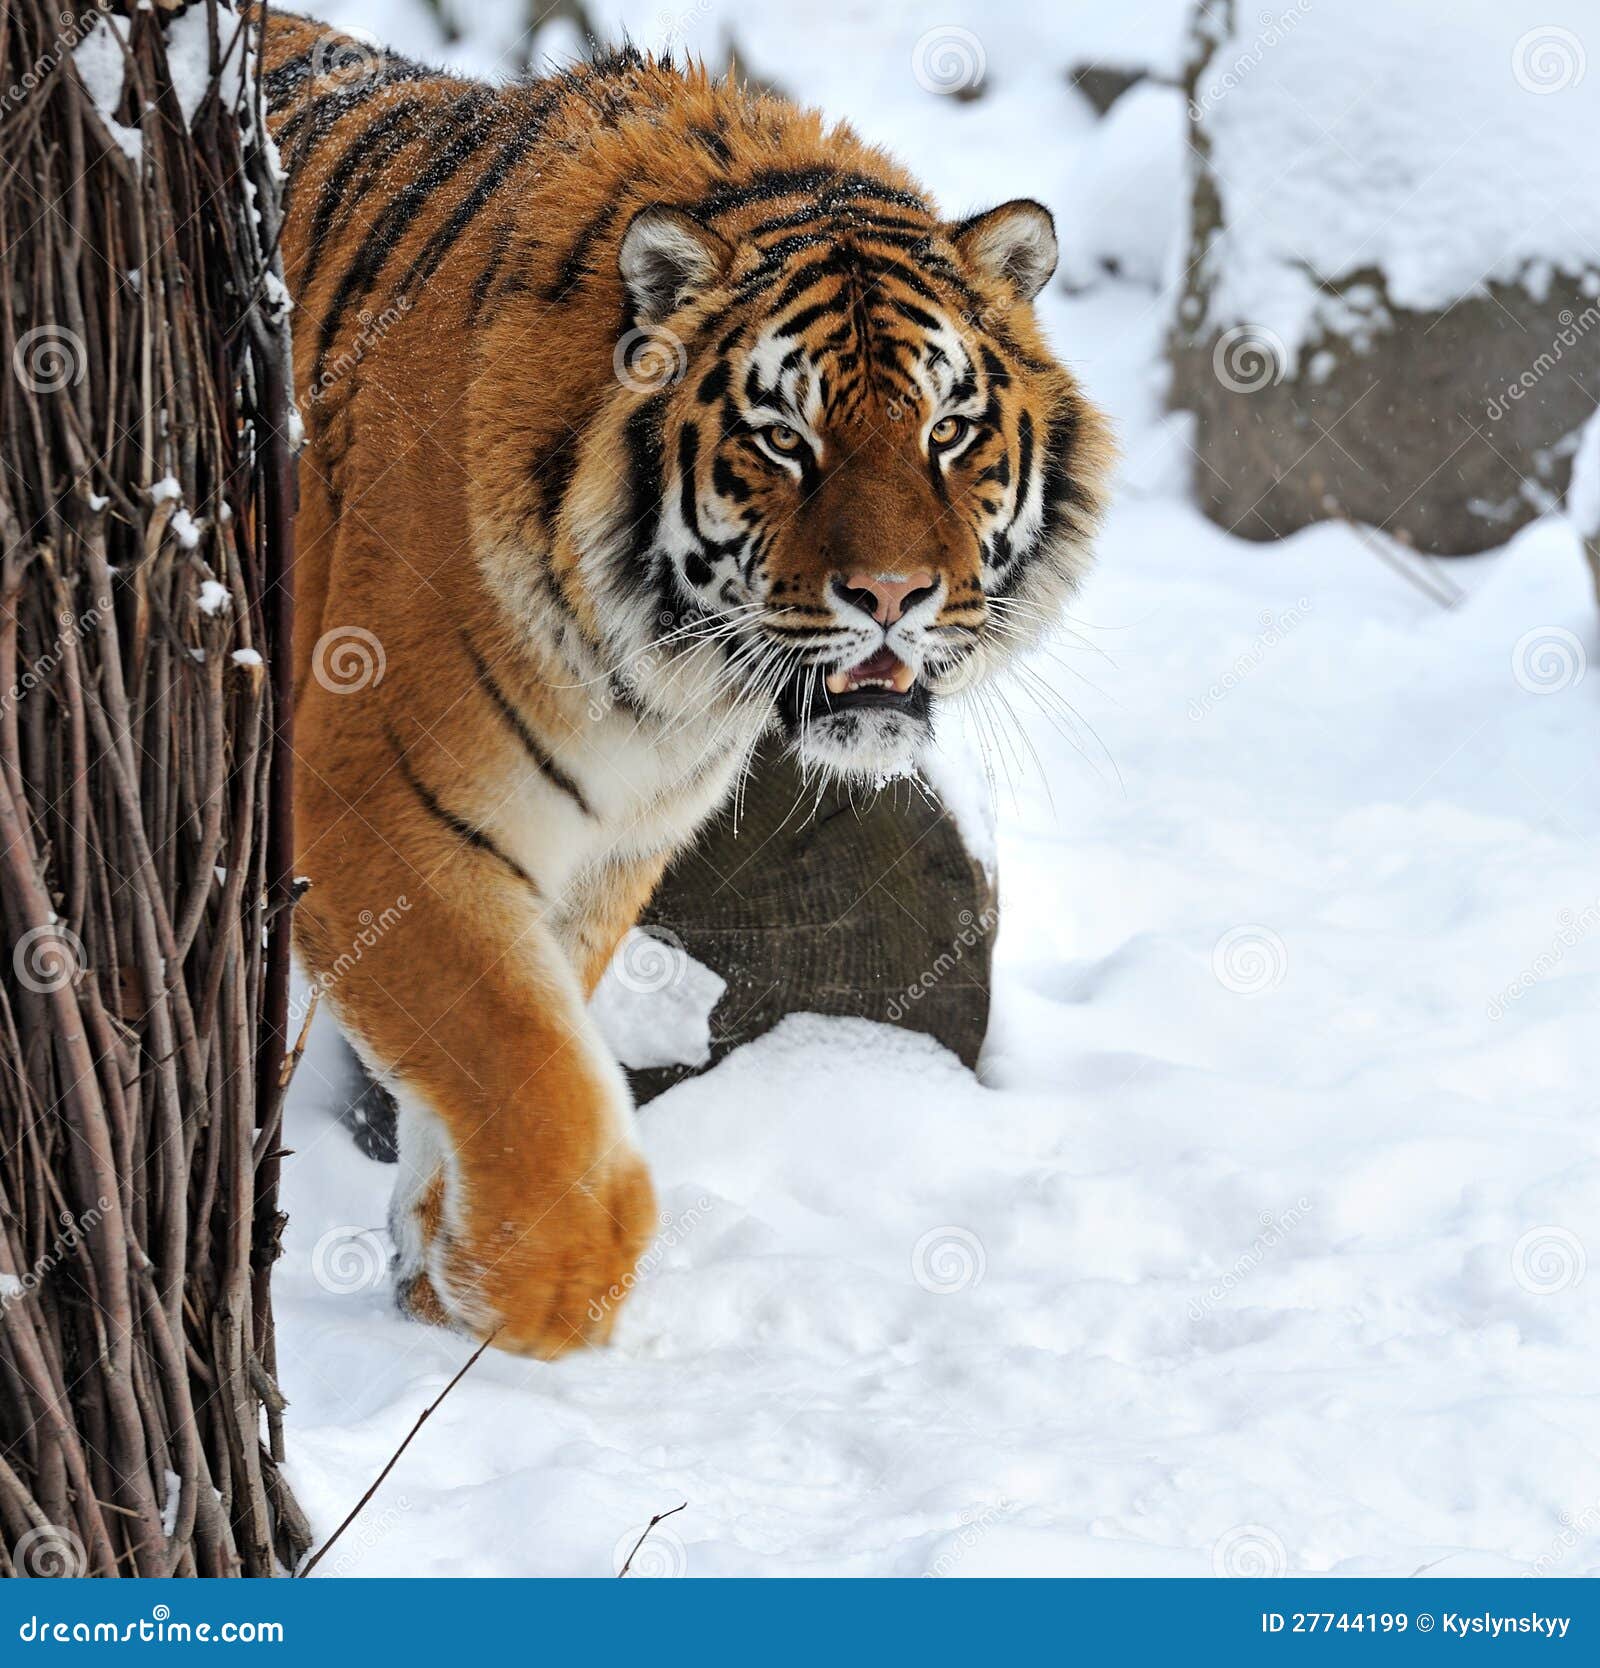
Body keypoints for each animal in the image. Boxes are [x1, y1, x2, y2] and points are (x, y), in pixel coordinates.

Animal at [257, 9, 1113, 1358]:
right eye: (784, 440)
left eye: (946, 432)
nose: (891, 595)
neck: (654, 677)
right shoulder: (369, 805)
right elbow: (528, 1072)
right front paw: (534, 1291)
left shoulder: (604, 843)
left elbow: (522, 1041)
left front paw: (442, 1272)